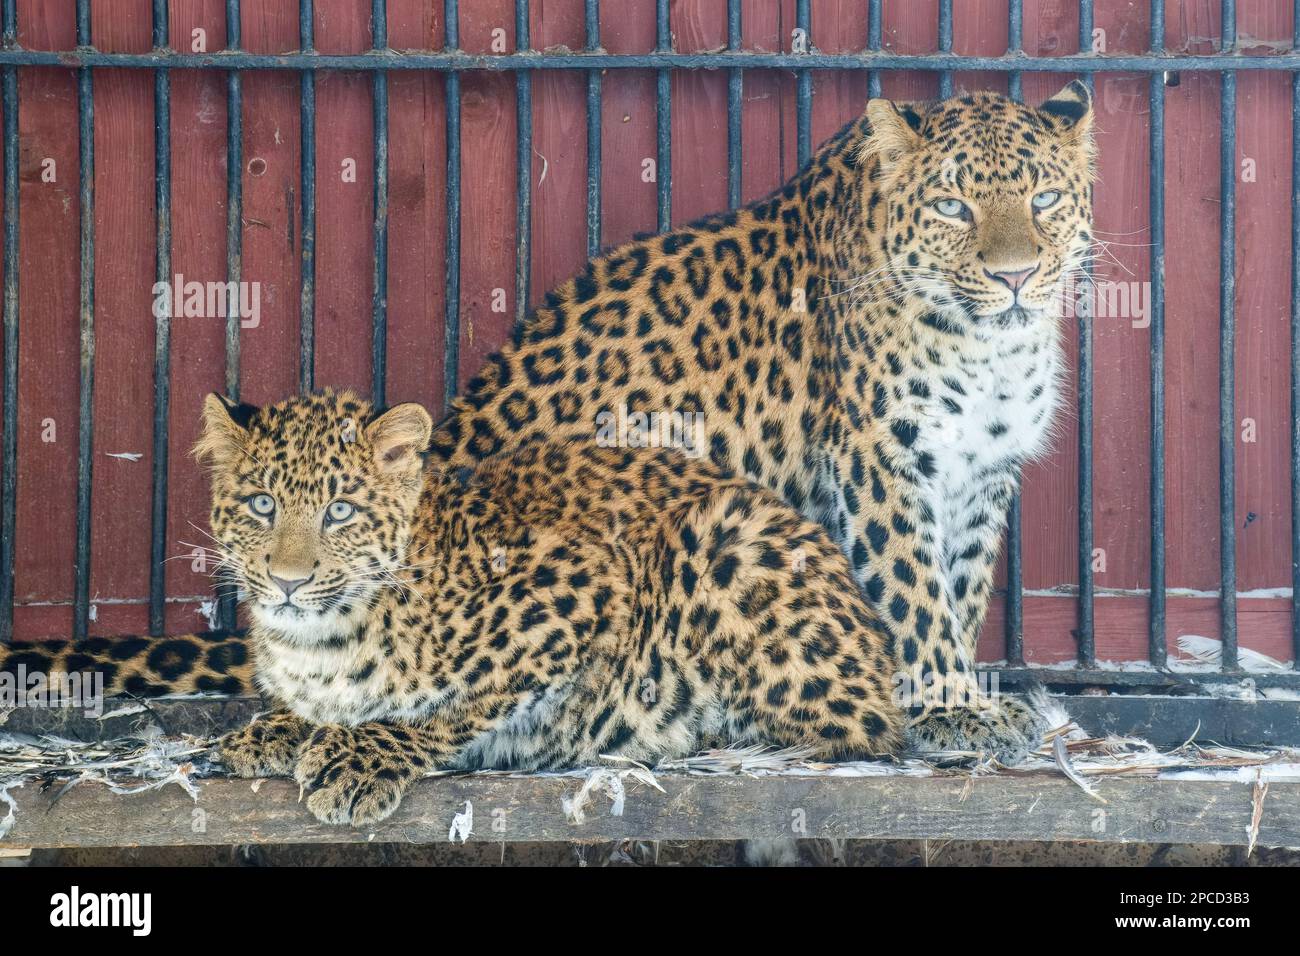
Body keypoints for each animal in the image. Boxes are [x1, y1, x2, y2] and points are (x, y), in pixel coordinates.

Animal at [419, 82, 1097, 761]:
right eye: (952, 207)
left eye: (1044, 199)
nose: (1015, 276)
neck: (992, 350)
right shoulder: (880, 454)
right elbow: (916, 589)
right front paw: (953, 708)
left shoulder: (985, 469)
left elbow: (965, 584)